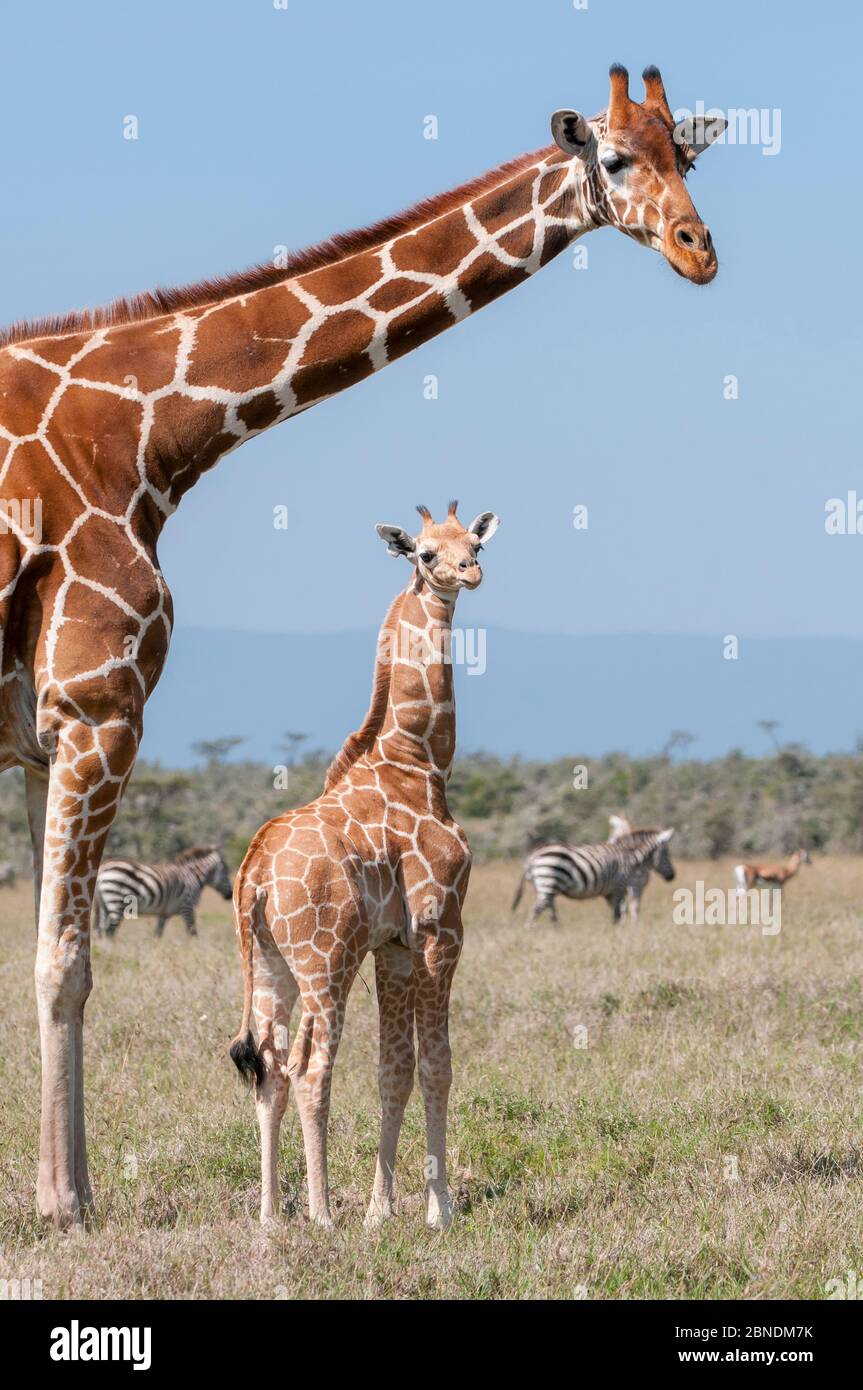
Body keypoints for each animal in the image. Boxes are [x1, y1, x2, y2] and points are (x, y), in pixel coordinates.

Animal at [229, 503, 497, 1229]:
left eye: (476, 541)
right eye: (426, 554)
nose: (470, 572)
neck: (419, 760)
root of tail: (254, 876)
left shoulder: (393, 945)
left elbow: (393, 1069)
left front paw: (382, 1209)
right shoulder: (440, 926)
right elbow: (437, 1065)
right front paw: (439, 1210)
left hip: (270, 965)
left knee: (267, 1068)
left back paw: (272, 1215)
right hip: (324, 960)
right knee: (308, 1067)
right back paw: (321, 1214)